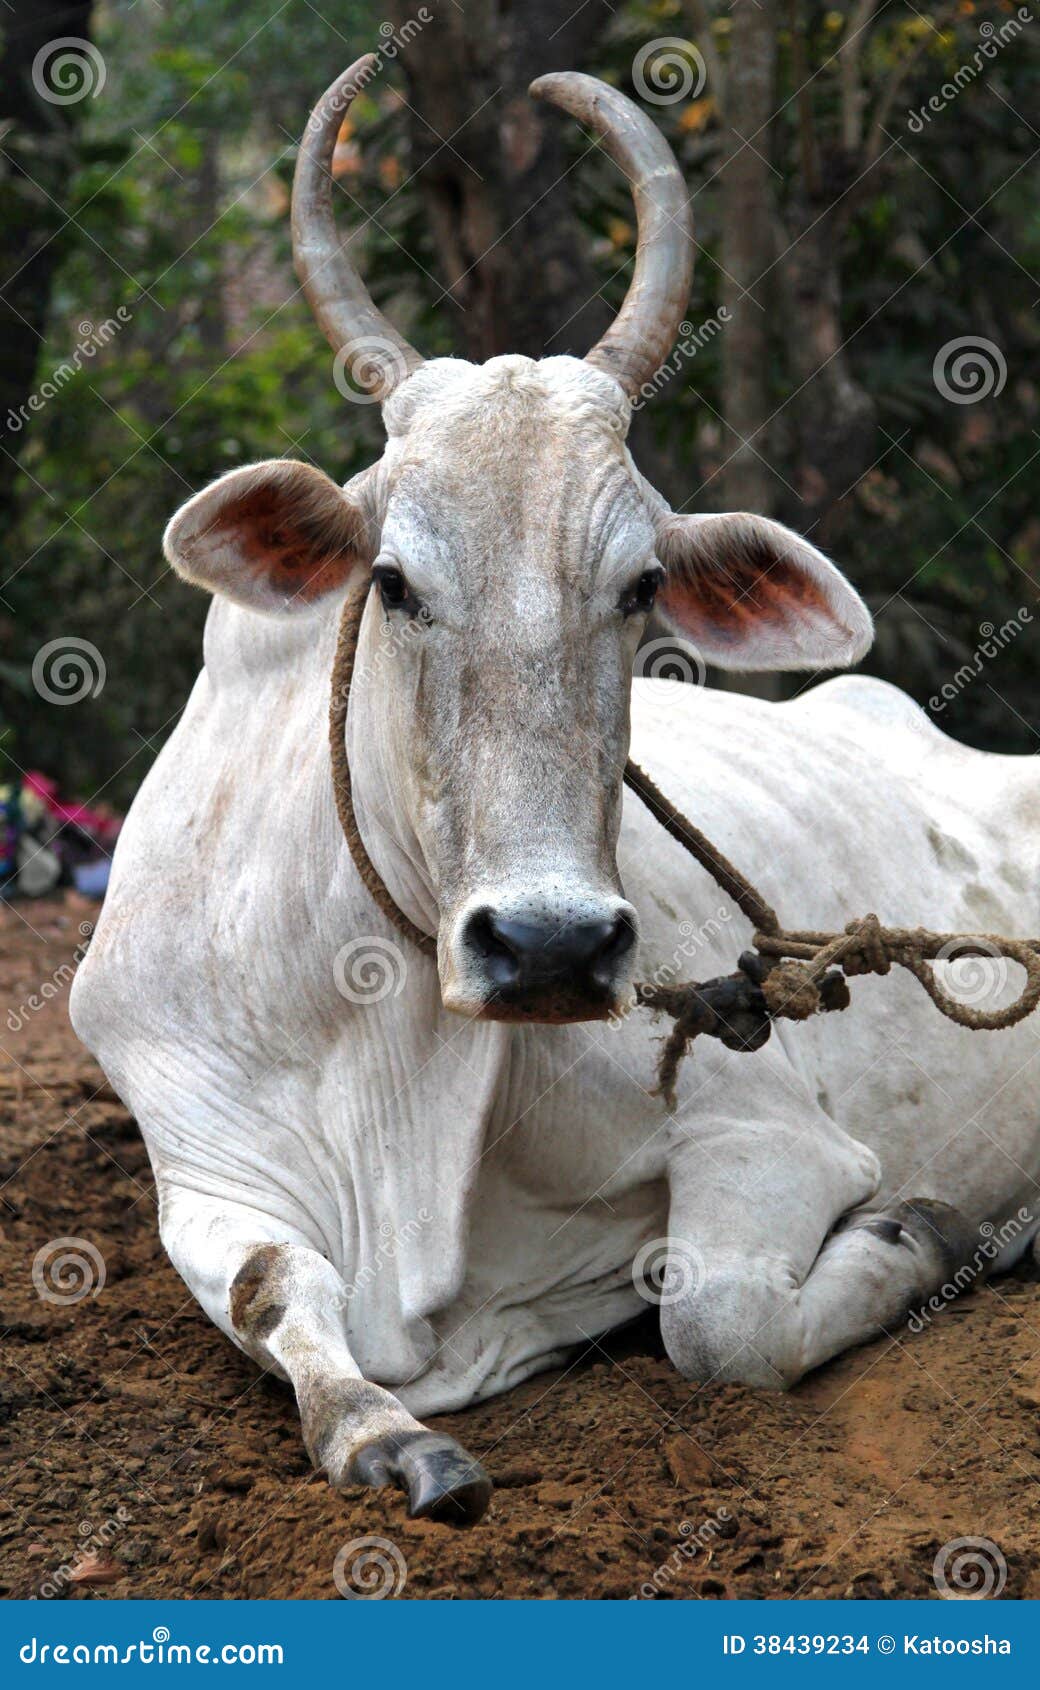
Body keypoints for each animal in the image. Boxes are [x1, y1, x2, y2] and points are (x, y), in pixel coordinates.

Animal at [71, 57, 1040, 1528]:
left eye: (640, 585)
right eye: (393, 581)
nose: (547, 945)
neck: (393, 1039)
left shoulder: (766, 1129)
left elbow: (719, 1320)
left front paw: (919, 1231)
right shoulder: (204, 1164)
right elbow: (272, 1287)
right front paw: (385, 1435)